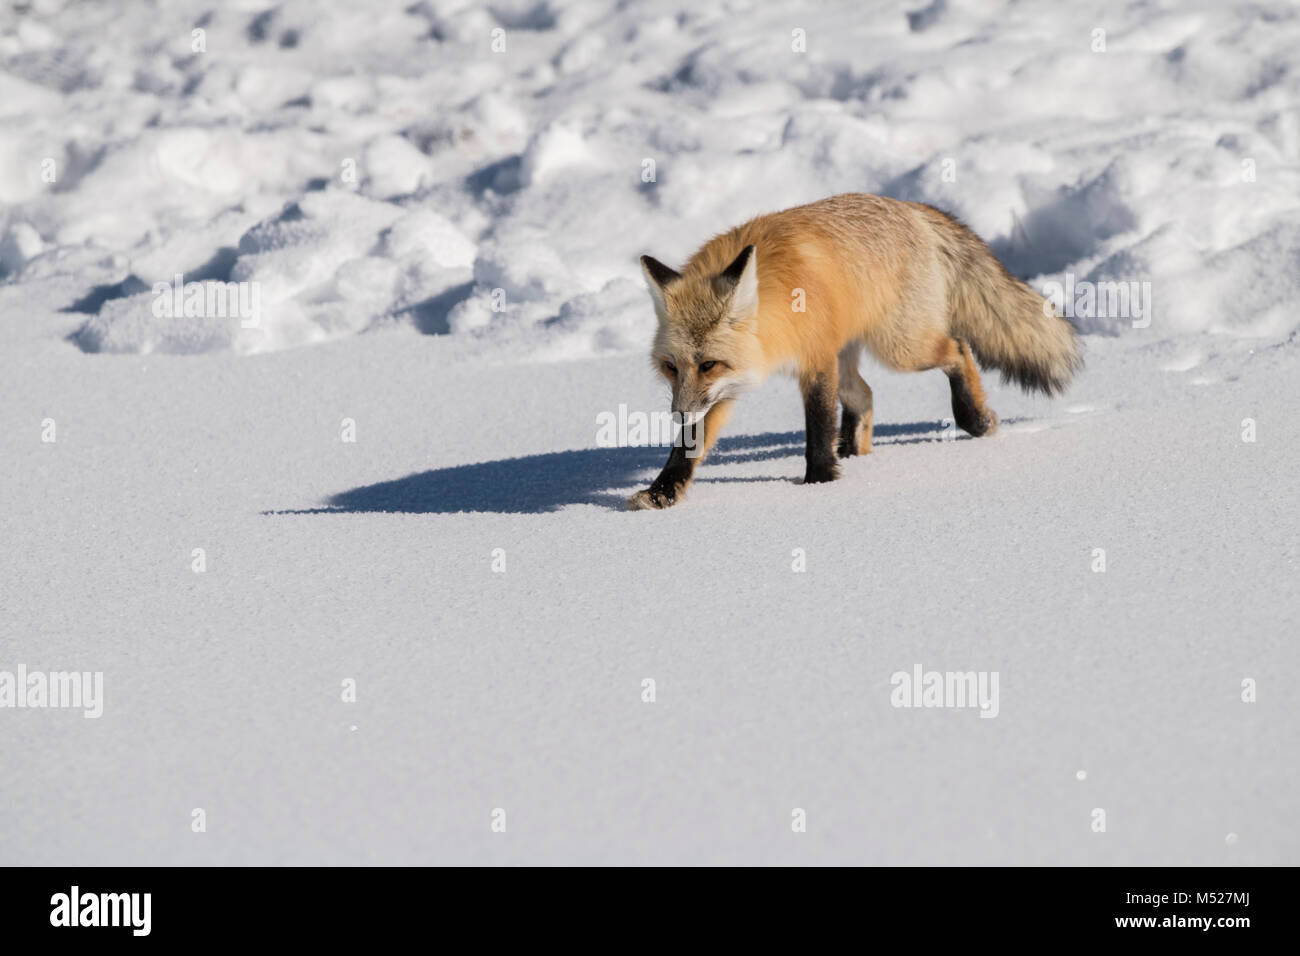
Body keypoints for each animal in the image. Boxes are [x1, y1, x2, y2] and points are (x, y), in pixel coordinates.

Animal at [628, 193, 1082, 510]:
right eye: (670, 367)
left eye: (708, 363)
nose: (677, 413)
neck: (777, 314)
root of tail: (908, 206)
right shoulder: (730, 385)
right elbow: (690, 445)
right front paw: (663, 491)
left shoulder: (814, 360)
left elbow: (817, 424)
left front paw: (820, 482)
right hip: (853, 360)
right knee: (865, 395)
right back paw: (855, 451)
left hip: (902, 348)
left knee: (957, 348)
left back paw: (975, 418)